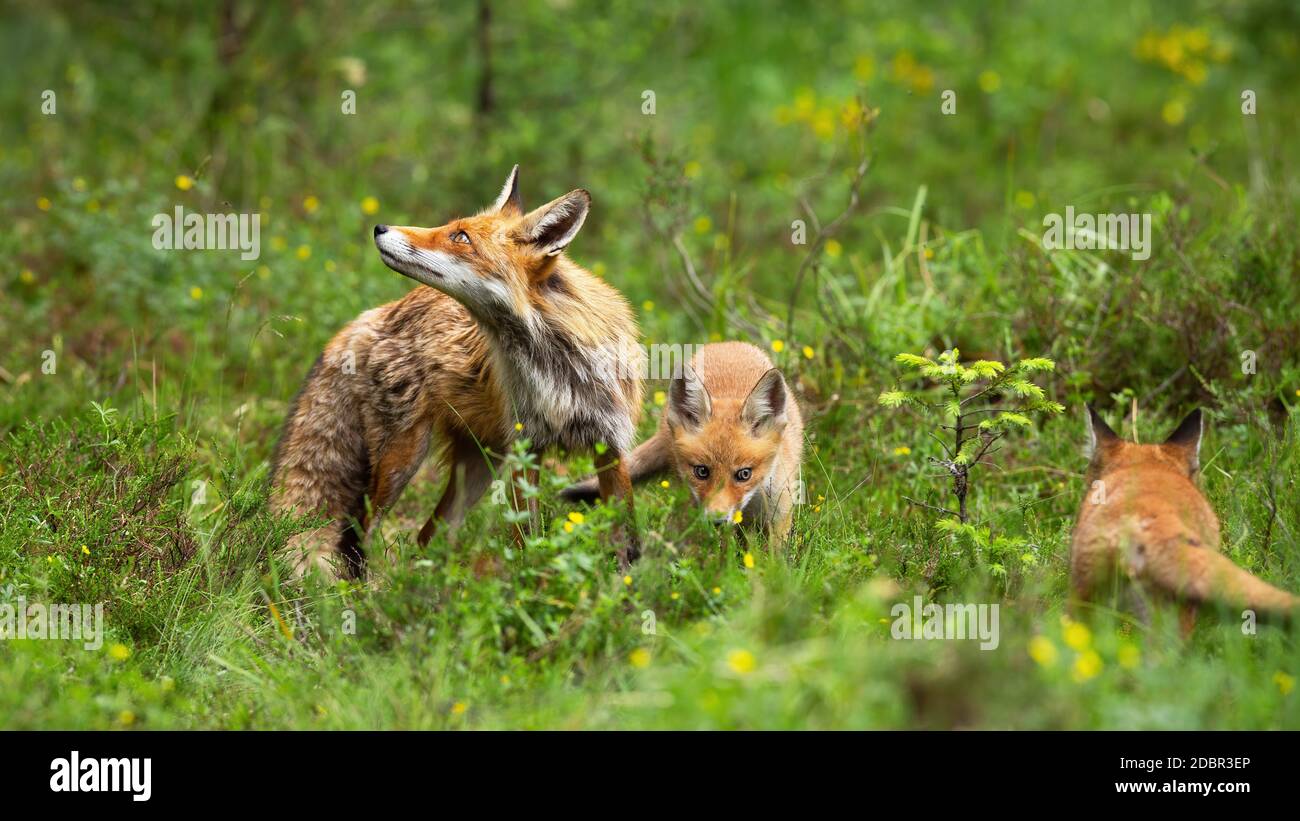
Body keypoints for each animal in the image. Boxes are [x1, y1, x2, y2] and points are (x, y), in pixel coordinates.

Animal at [271, 166, 642, 579]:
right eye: (450, 226)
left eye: (460, 237)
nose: (380, 227)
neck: (554, 365)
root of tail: (372, 315)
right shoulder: (526, 447)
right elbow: (525, 541)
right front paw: (527, 583)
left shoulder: (611, 443)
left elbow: (626, 538)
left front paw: (624, 585)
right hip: (404, 458)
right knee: (361, 532)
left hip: (478, 466)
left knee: (426, 535)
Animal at [561, 342, 804, 546]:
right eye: (702, 472)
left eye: (744, 474)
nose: (716, 521)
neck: (752, 501)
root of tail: (727, 343)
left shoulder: (779, 511)